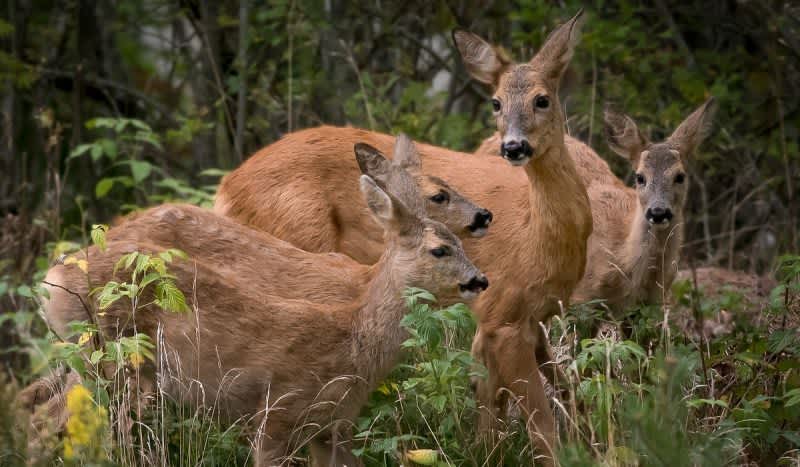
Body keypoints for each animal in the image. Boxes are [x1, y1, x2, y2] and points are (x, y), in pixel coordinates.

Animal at [40, 168, 487, 466]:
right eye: (440, 250)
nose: (479, 280)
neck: (353, 334)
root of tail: (53, 279)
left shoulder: (333, 425)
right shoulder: (277, 409)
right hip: (120, 363)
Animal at [213, 12, 592, 463]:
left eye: (542, 99)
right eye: (496, 102)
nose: (514, 146)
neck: (540, 237)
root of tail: (226, 188)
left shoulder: (531, 318)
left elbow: (545, 393)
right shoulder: (503, 314)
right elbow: (538, 419)